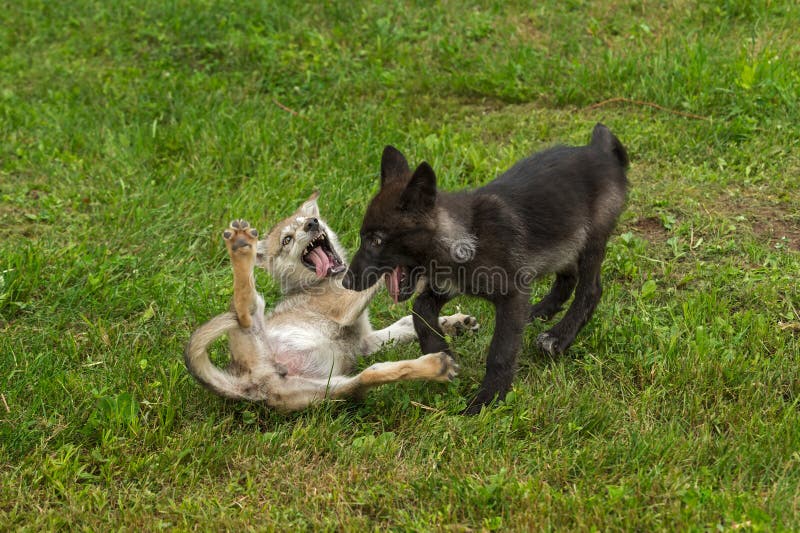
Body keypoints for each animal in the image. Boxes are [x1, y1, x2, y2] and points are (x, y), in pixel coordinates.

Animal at [183, 193, 479, 412]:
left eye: (309, 220)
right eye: (287, 239)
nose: (312, 224)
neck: (318, 282)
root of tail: (245, 384)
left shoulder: (364, 341)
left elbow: (406, 322)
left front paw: (455, 323)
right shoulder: (345, 310)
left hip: (334, 388)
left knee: (372, 373)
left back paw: (436, 366)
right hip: (252, 318)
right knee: (244, 307)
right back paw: (241, 246)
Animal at [342, 124, 629, 414]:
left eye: (377, 240)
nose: (346, 283)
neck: (467, 236)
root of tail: (599, 150)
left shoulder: (512, 294)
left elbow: (501, 352)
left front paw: (488, 399)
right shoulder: (450, 285)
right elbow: (420, 309)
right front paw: (441, 351)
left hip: (591, 240)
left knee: (591, 289)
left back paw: (559, 336)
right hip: (566, 241)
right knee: (567, 277)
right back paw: (541, 311)